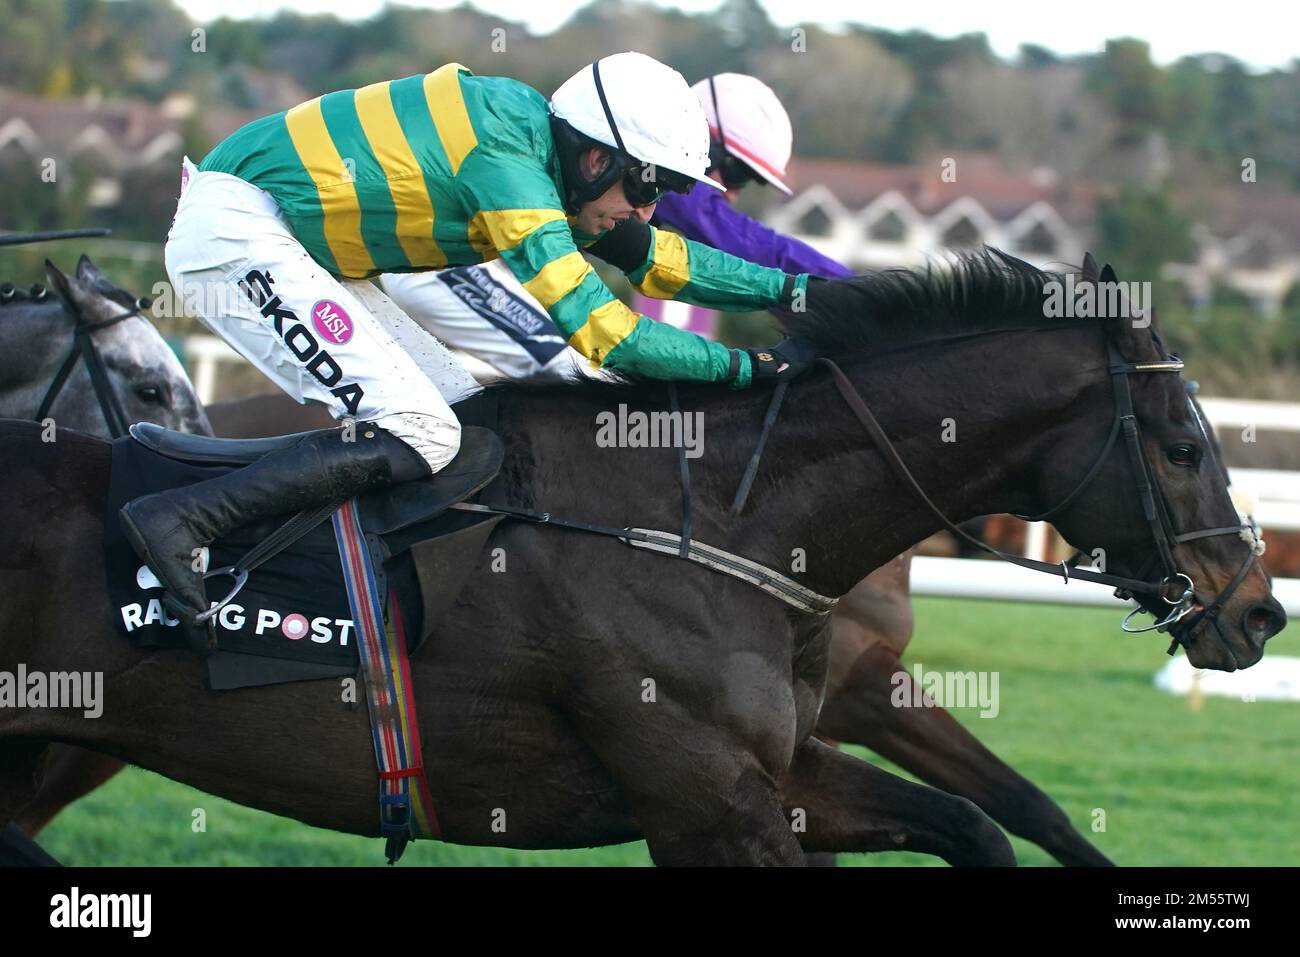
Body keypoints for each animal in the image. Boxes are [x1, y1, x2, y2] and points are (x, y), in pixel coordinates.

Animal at [1, 251, 1283, 864]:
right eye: (1181, 446)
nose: (1259, 611)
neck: (726, 517)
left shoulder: (787, 768)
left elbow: (987, 821)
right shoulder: (705, 802)